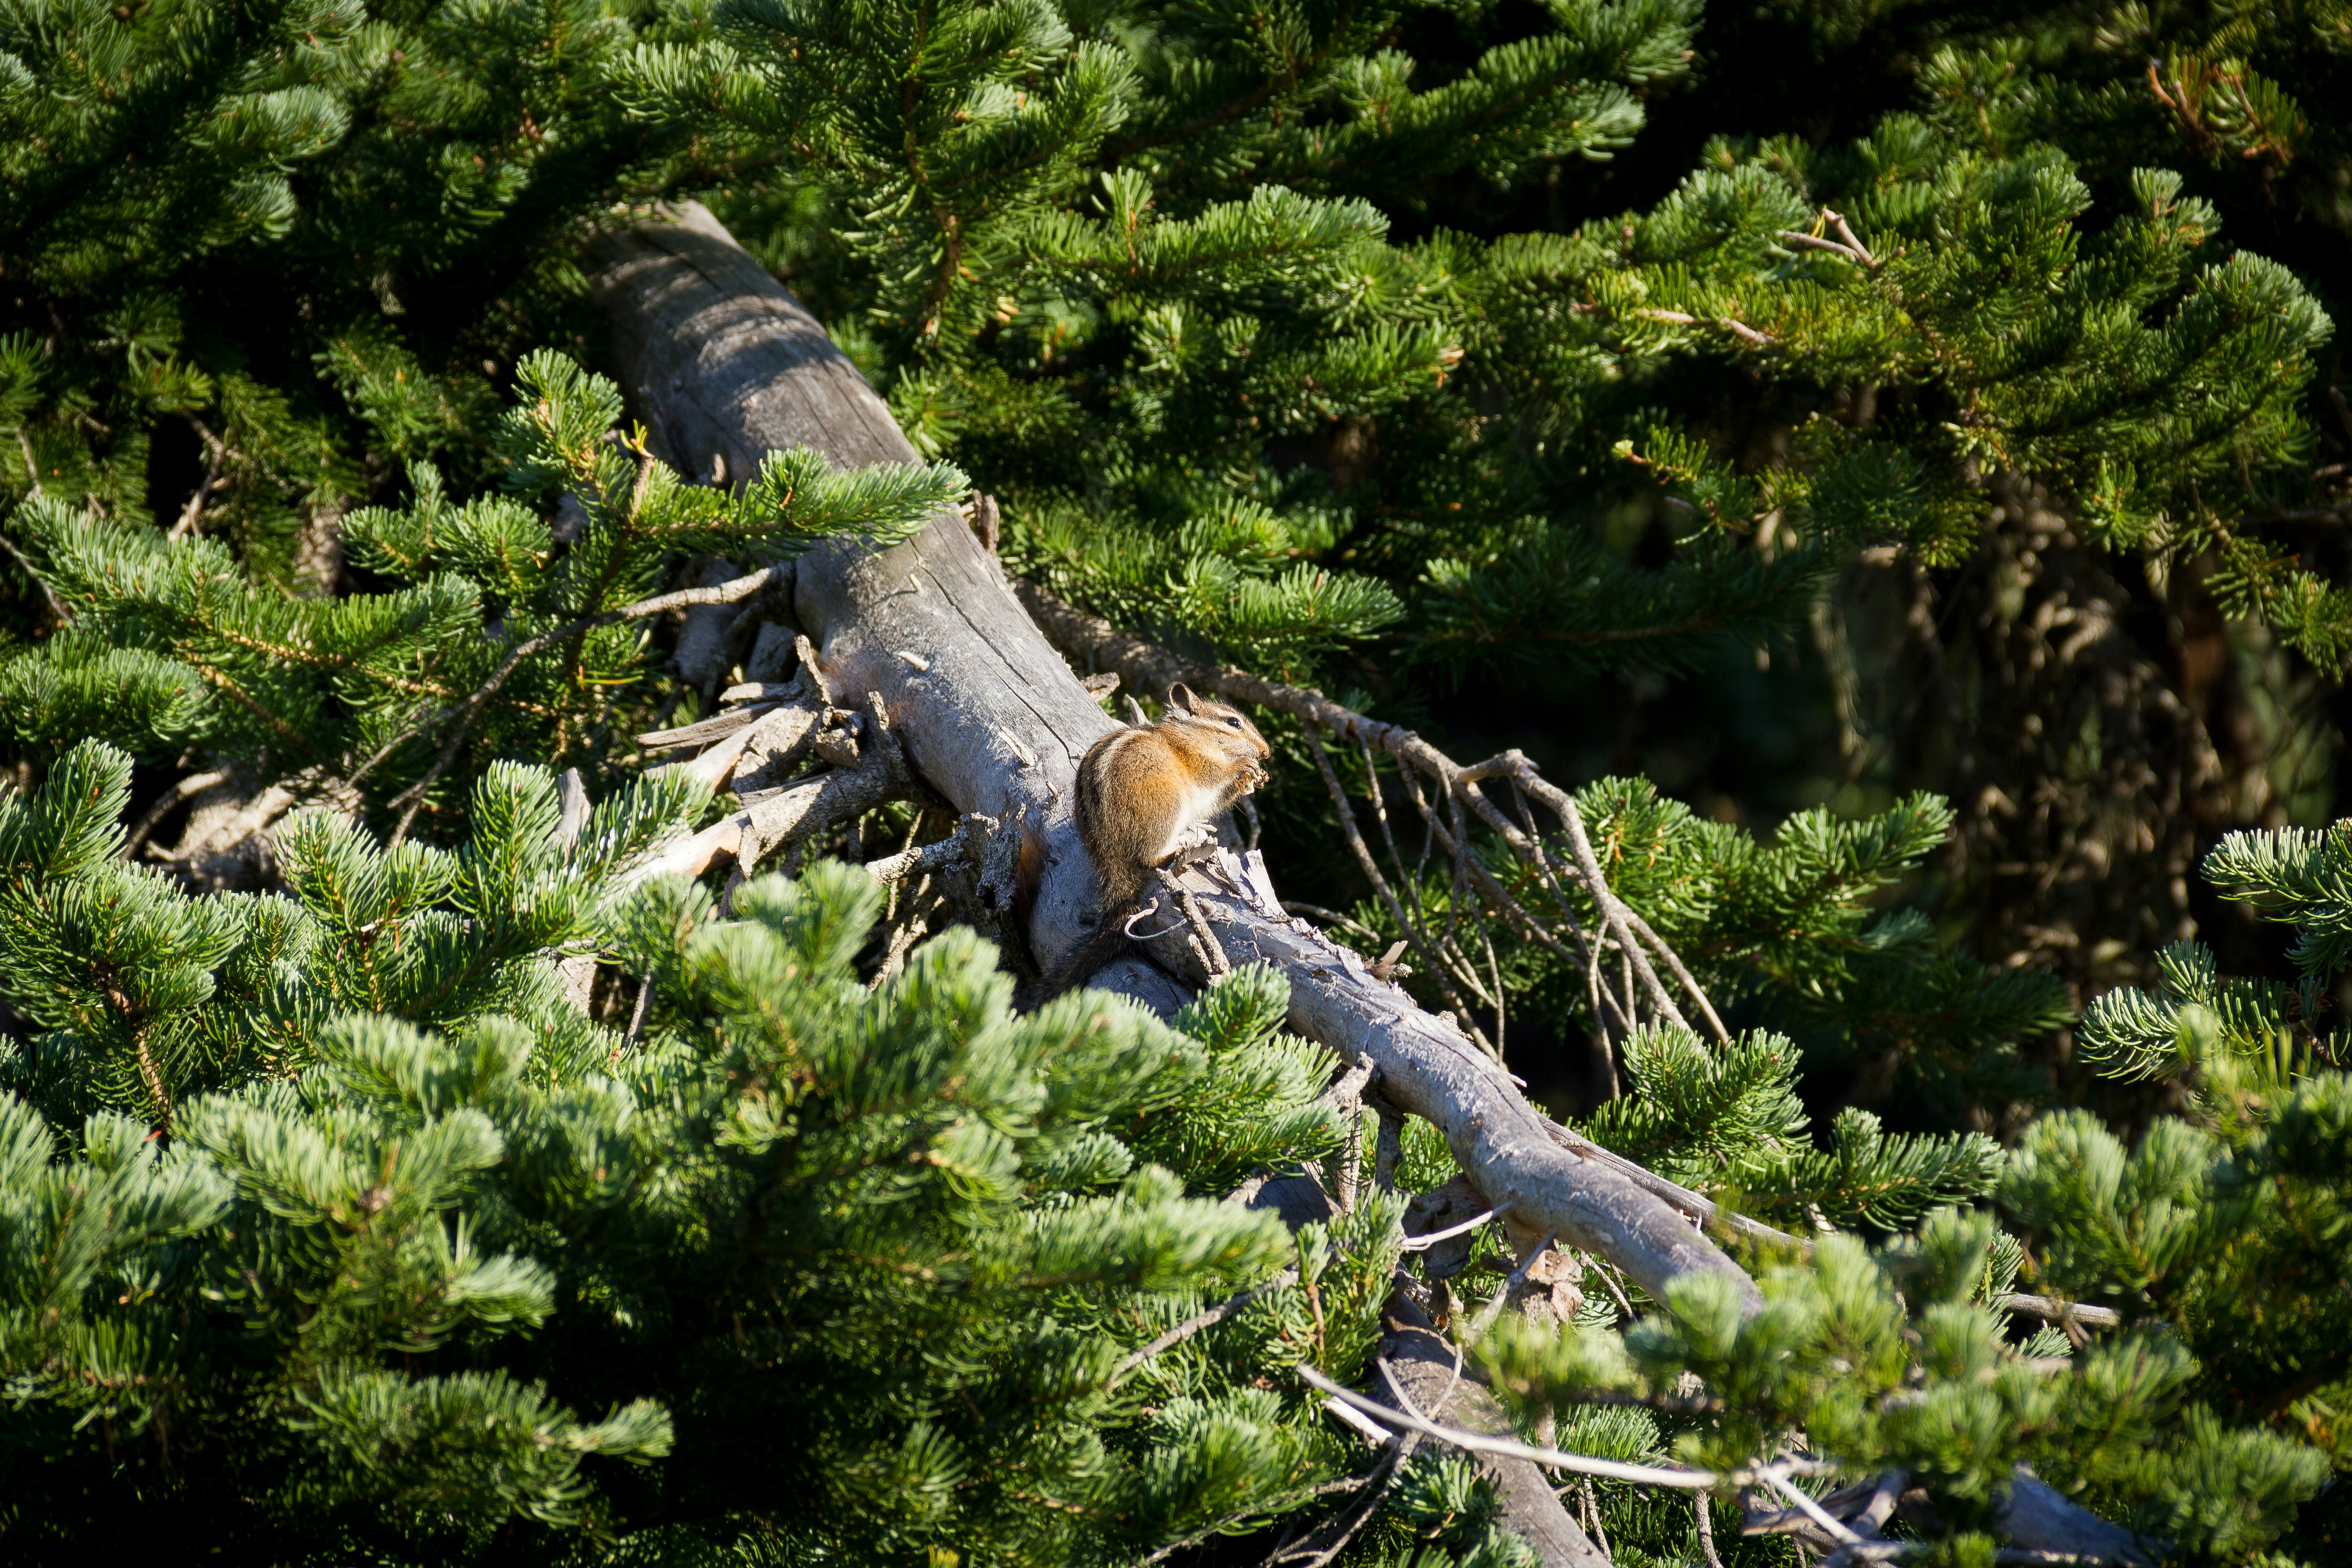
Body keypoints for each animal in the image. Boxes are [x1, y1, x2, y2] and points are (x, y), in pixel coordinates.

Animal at [1042, 683, 1271, 995]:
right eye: (1234, 723)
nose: (1266, 751)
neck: (1193, 734)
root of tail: (1109, 854)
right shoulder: (1195, 757)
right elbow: (1214, 773)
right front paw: (1243, 767)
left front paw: (1254, 779)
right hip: (1167, 805)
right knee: (1149, 858)